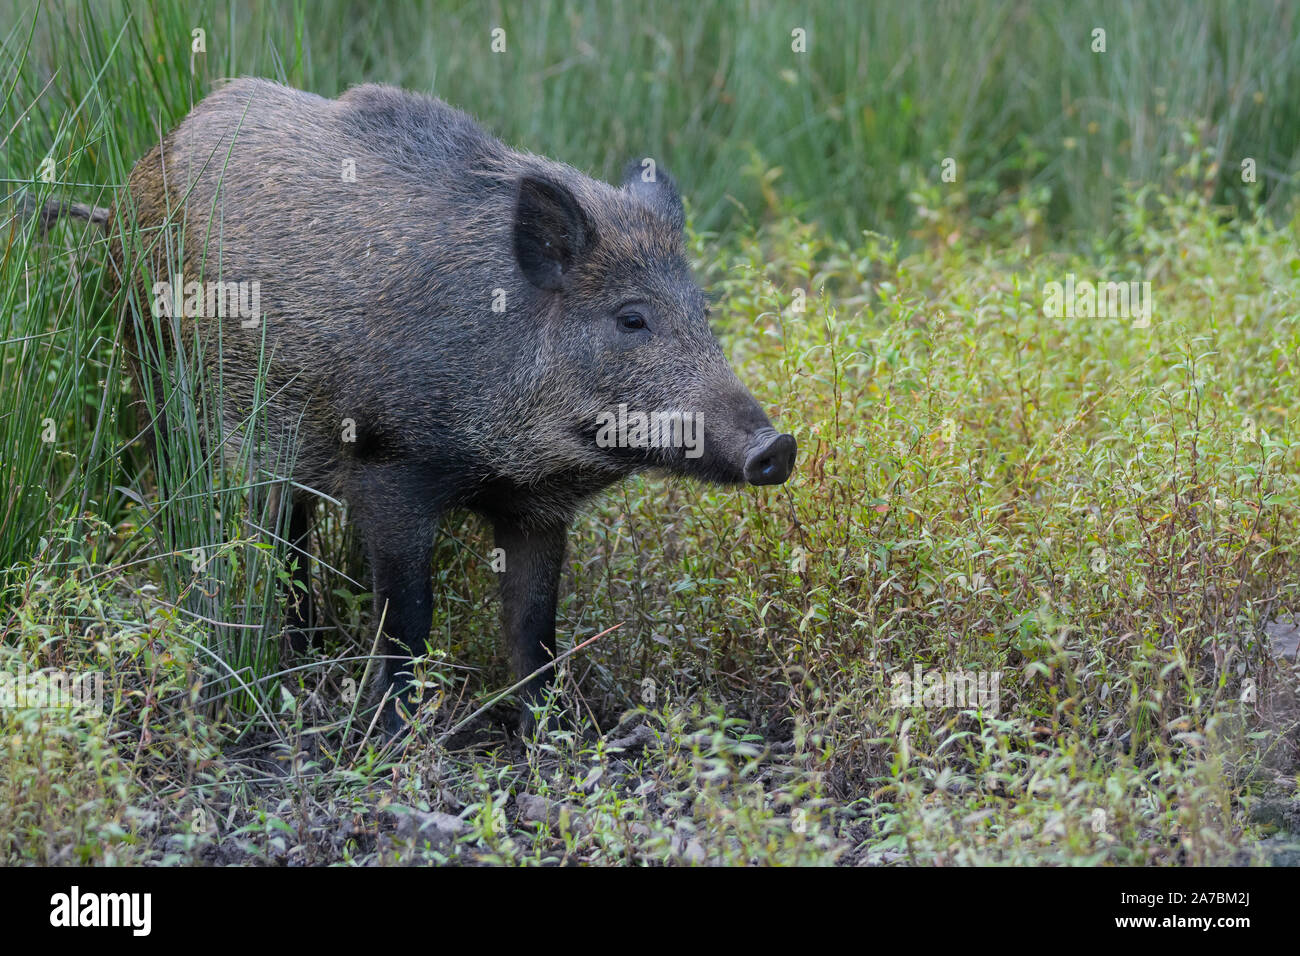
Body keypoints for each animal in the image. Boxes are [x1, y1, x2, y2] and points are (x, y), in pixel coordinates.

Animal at [85, 79, 798, 734]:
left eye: (703, 311)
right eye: (632, 318)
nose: (778, 447)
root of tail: (150, 158)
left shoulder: (537, 508)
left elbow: (534, 626)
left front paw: (554, 733)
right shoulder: (387, 467)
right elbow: (407, 613)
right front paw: (392, 730)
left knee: (288, 533)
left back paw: (303, 655)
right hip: (151, 371)